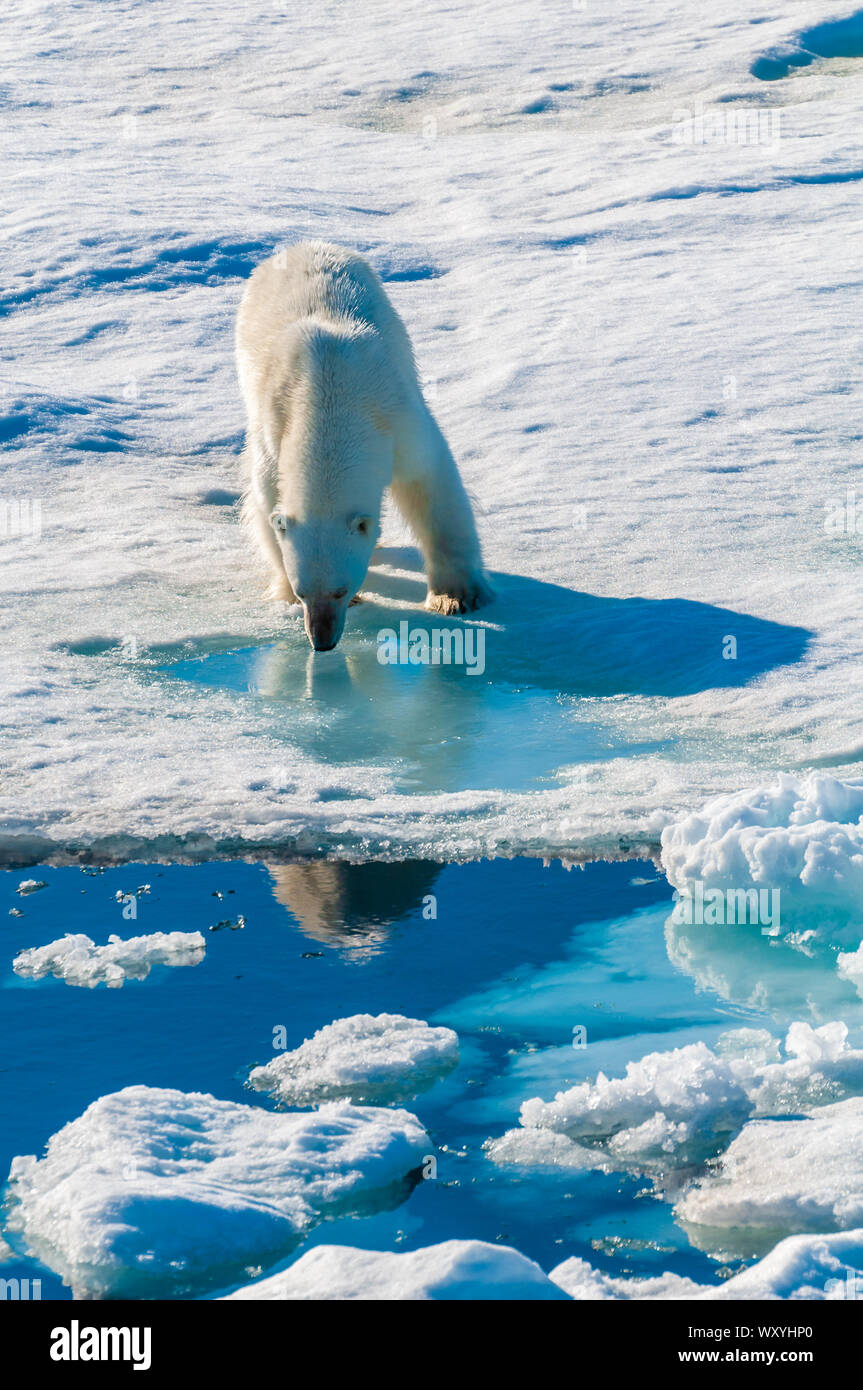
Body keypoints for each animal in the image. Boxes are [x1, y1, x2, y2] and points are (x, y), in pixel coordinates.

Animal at [236, 240, 493, 651]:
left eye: (341, 590)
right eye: (304, 591)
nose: (322, 641)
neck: (327, 390)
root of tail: (303, 244)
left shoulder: (396, 417)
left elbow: (432, 483)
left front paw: (456, 597)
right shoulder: (273, 430)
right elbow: (266, 503)